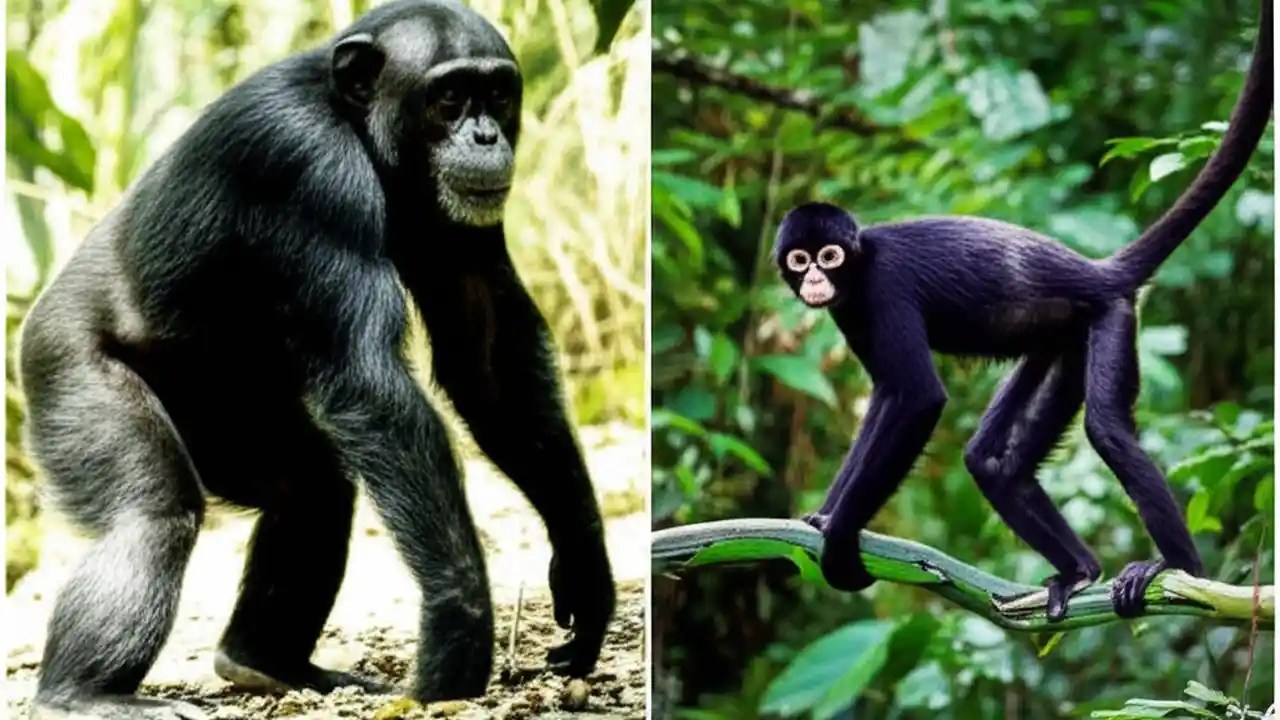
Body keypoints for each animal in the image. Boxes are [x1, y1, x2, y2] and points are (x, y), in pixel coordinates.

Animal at [16, 2, 615, 718]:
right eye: (449, 97)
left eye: (497, 91)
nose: (485, 134)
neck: (360, 126)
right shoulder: (307, 164)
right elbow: (368, 381)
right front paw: (460, 624)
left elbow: (488, 358)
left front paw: (585, 568)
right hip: (69, 375)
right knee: (152, 516)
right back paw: (83, 693)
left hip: (228, 417)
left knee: (315, 484)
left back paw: (263, 660)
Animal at [772, 0, 1271, 622]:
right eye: (800, 259)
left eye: (830, 256)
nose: (815, 278)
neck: (859, 268)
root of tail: (1097, 271)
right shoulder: (850, 309)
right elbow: (889, 396)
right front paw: (825, 516)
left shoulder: (883, 288)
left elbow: (917, 397)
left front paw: (840, 537)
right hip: (1064, 340)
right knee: (990, 461)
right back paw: (1079, 571)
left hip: (1110, 317)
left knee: (1106, 430)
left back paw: (1176, 570)